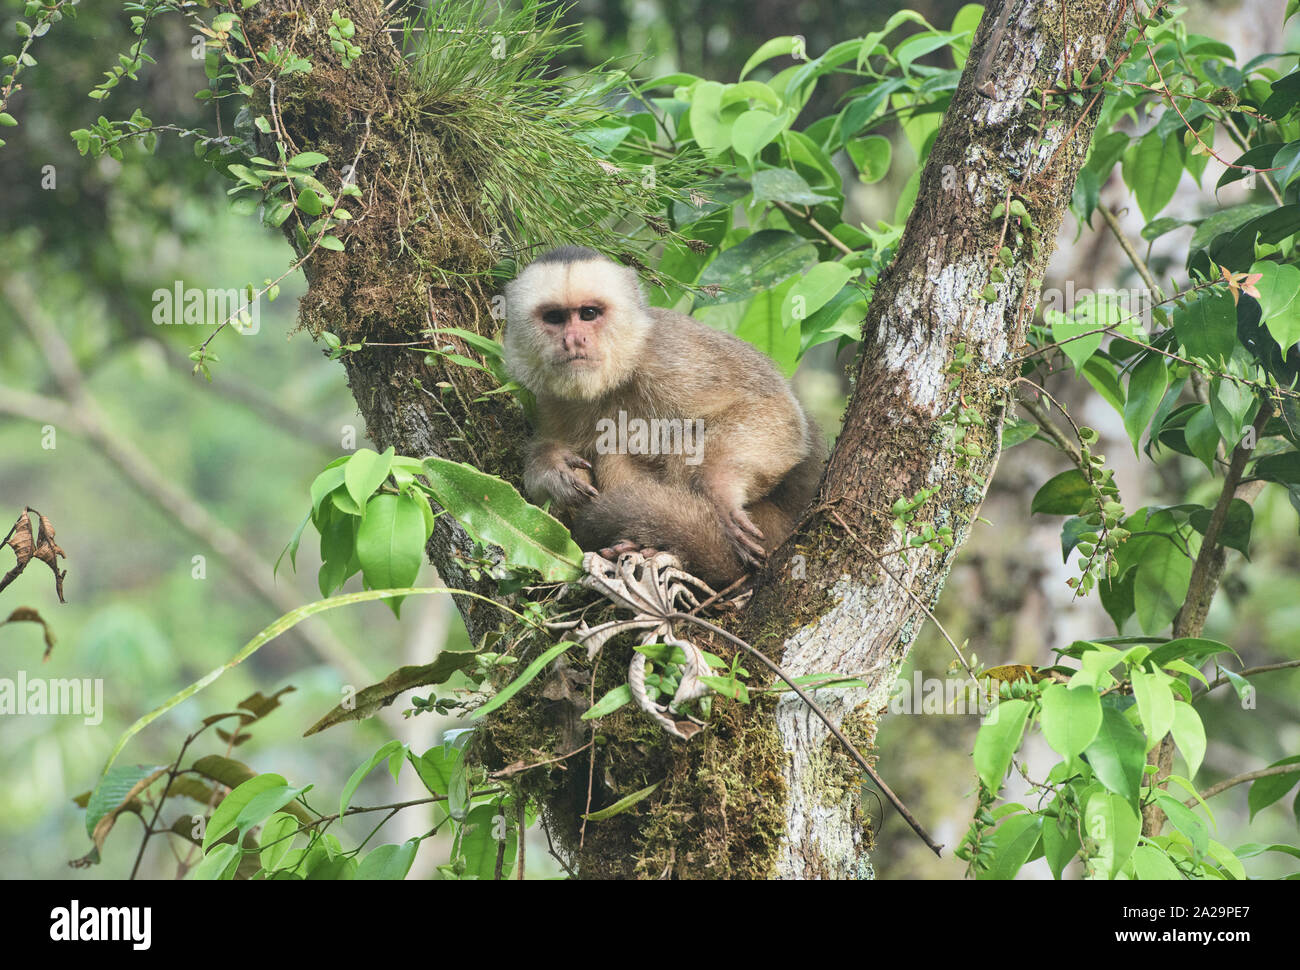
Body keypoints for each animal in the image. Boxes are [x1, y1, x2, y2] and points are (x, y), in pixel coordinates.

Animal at [502, 245, 826, 589]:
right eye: (555, 318)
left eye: (589, 314)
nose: (574, 339)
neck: (618, 377)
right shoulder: (554, 399)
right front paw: (549, 466)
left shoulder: (670, 352)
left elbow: (773, 407)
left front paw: (720, 490)